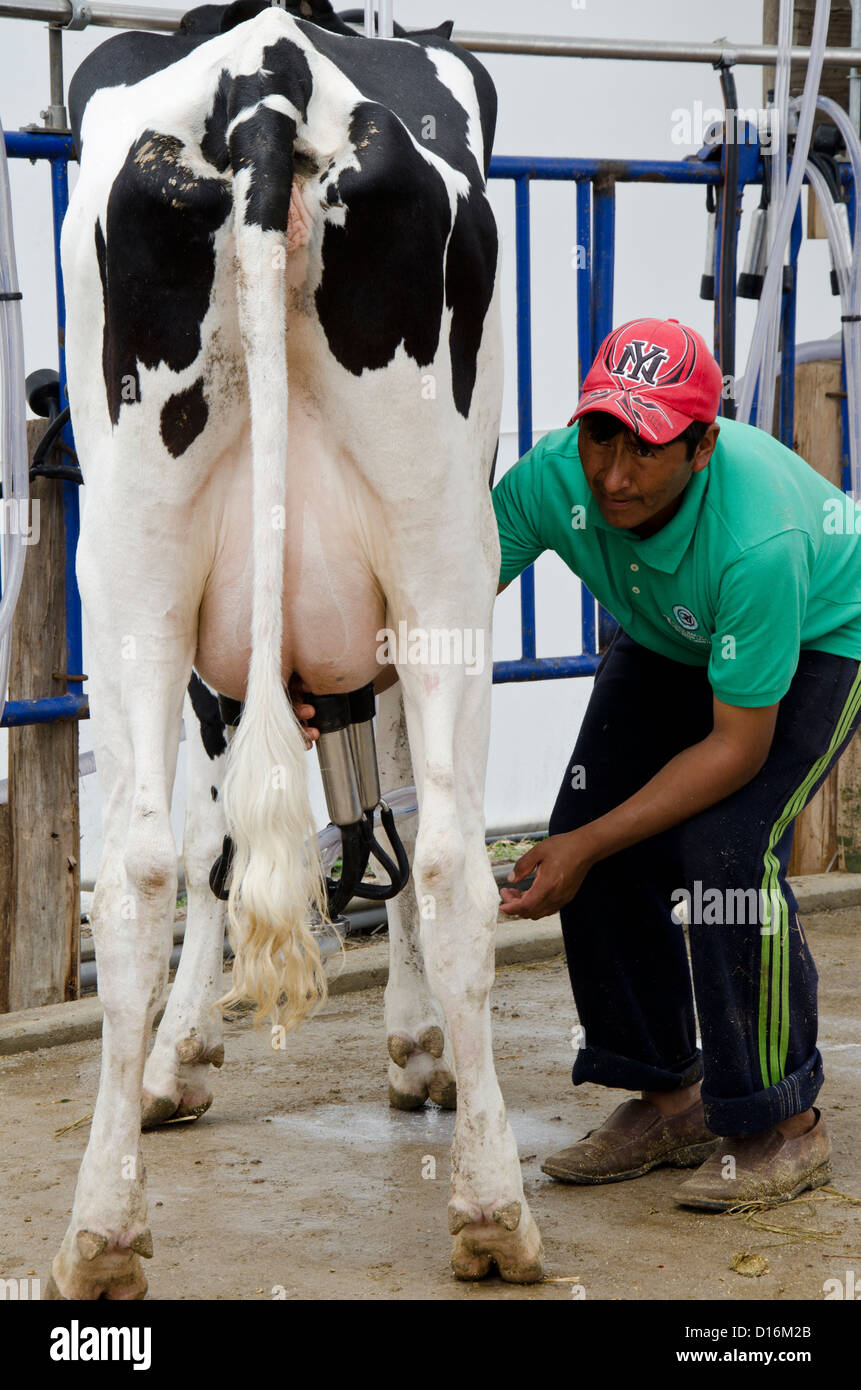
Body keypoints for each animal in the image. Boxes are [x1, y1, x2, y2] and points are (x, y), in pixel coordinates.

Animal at [49, 0, 543, 1298]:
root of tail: (269, 79)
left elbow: (234, 834)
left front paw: (182, 1057)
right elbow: (362, 809)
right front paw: (414, 1046)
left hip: (137, 570)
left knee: (141, 867)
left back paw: (103, 1227)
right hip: (432, 552)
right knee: (443, 858)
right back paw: (491, 1206)